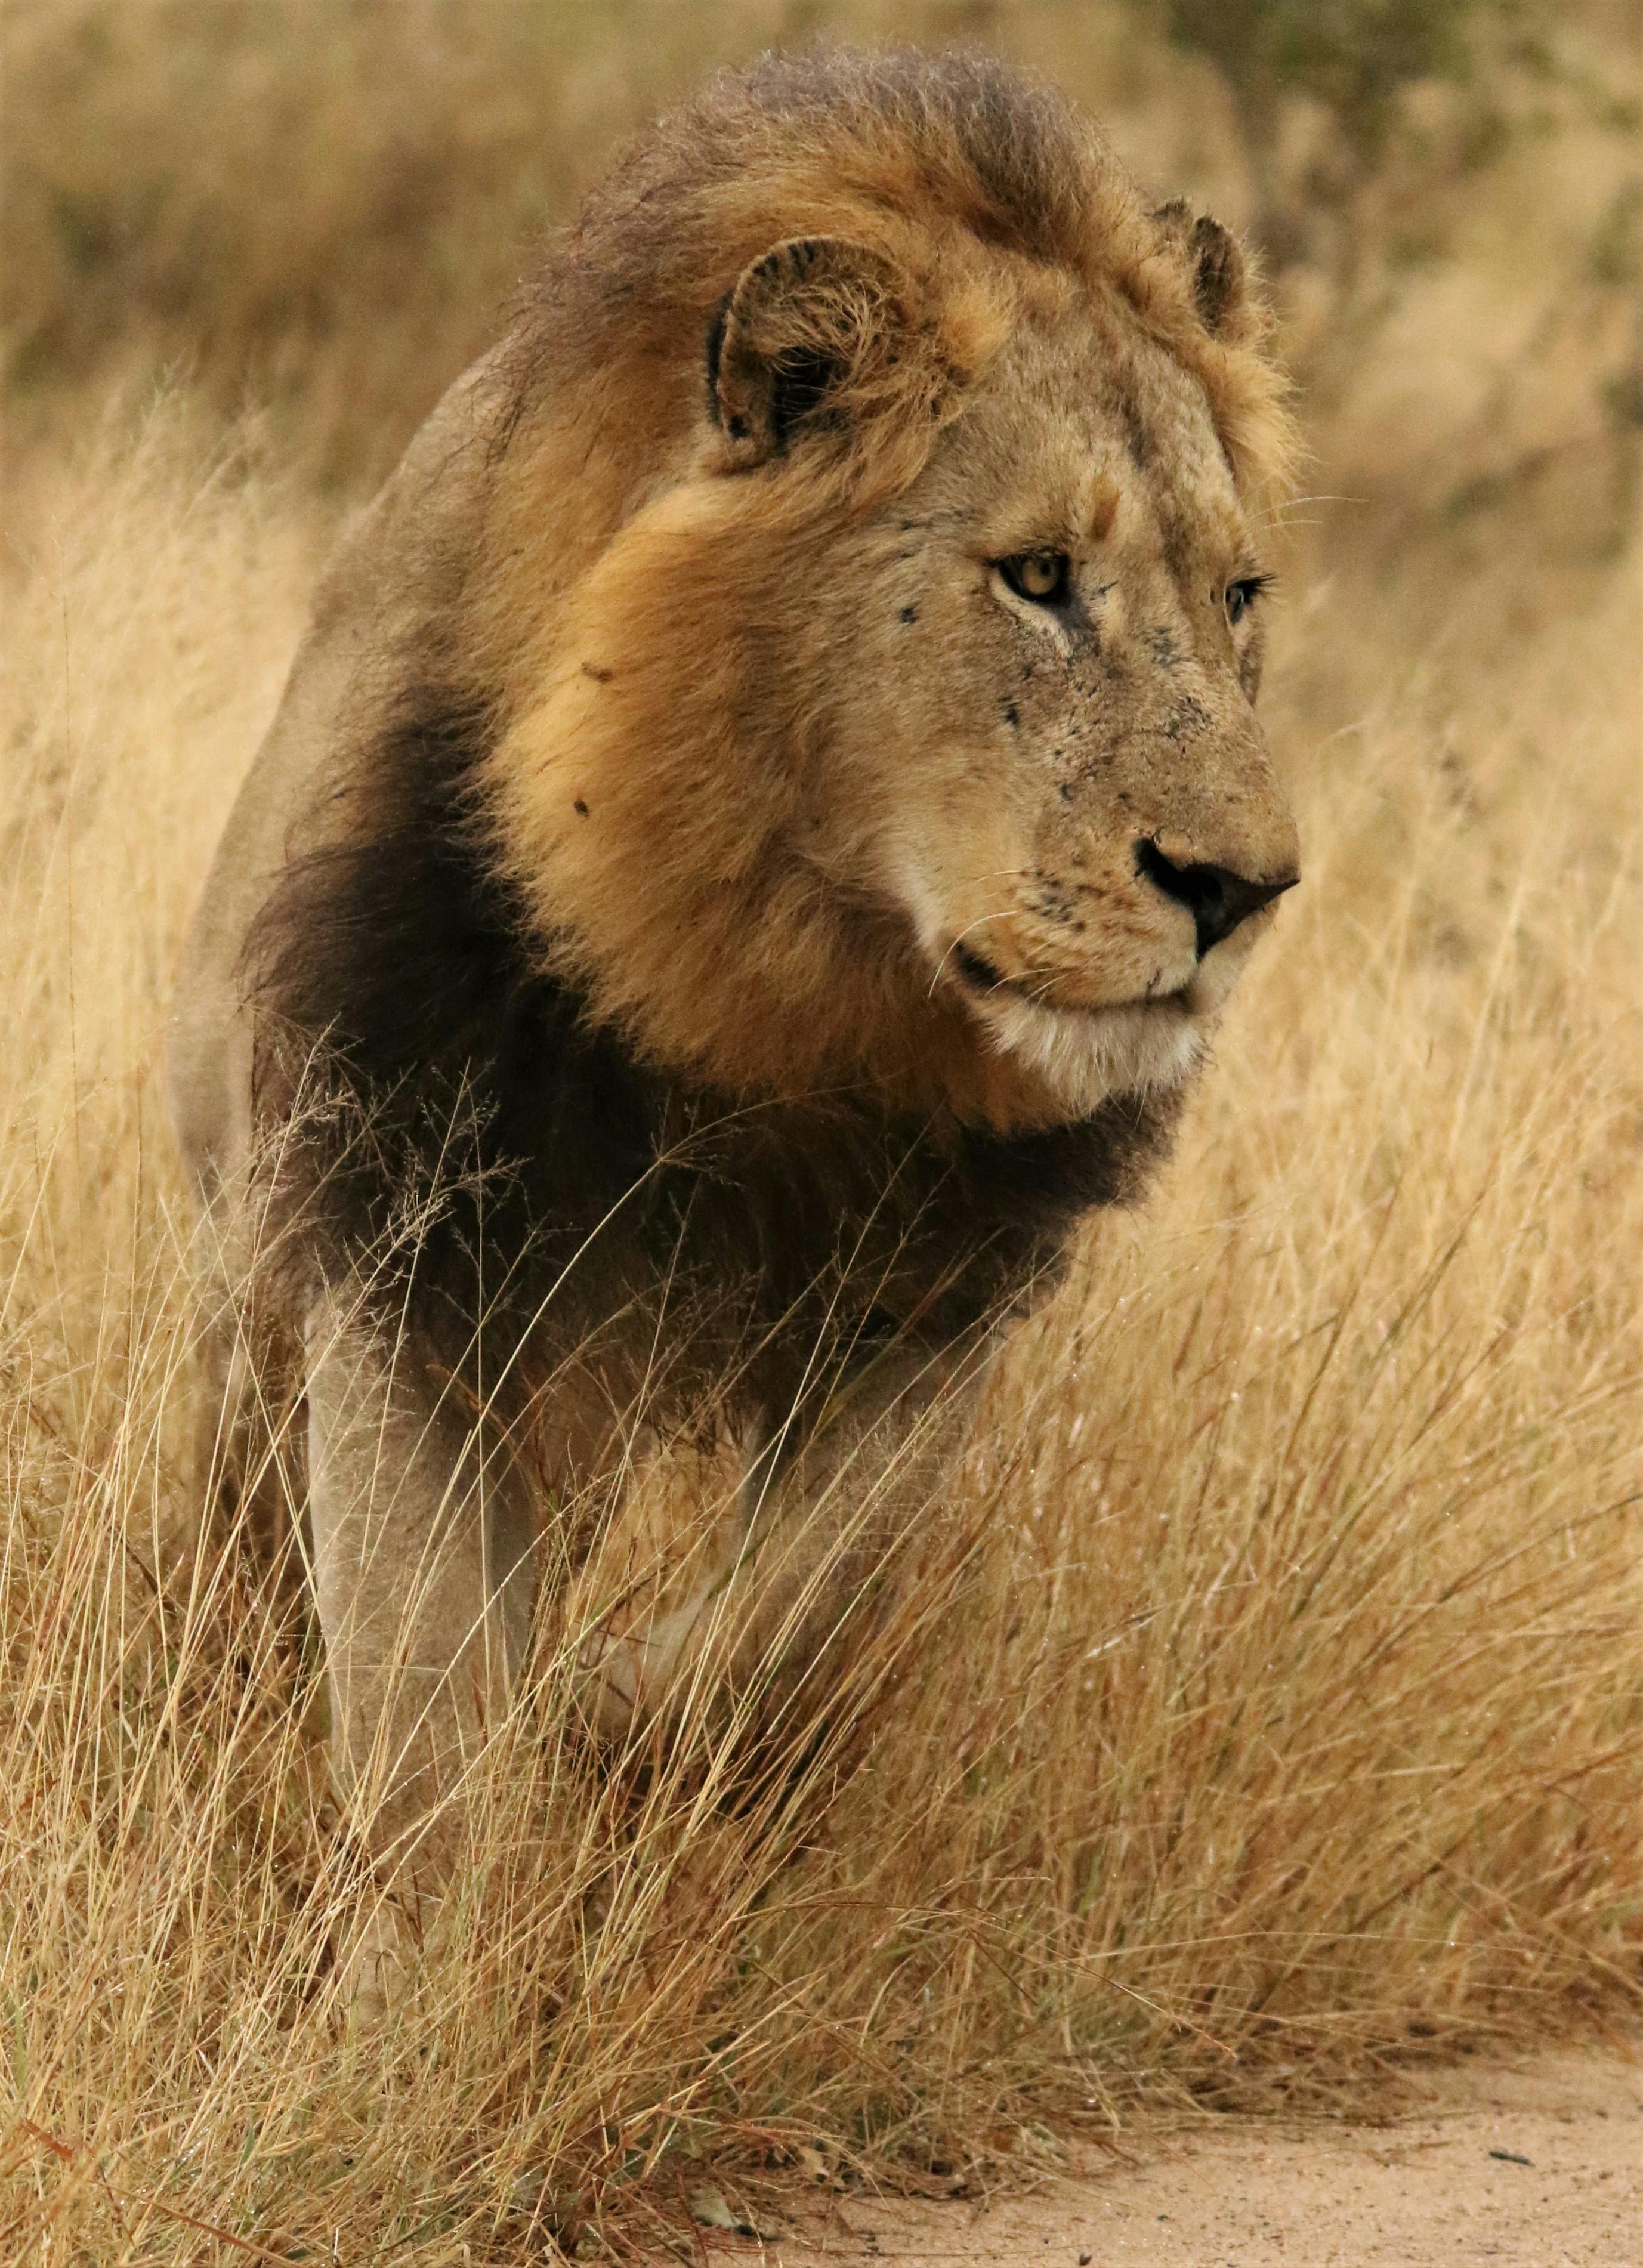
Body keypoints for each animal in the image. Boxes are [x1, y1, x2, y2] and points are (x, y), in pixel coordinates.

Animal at [167, 46, 1301, 2014]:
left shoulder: (940, 1290)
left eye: (1238, 597)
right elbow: (418, 1700)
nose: (1240, 889)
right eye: (1035, 577)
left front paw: (602, 1723)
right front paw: (407, 2007)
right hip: (249, 1249)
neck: (780, 992)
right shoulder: (406, 1233)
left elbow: (780, 1620)